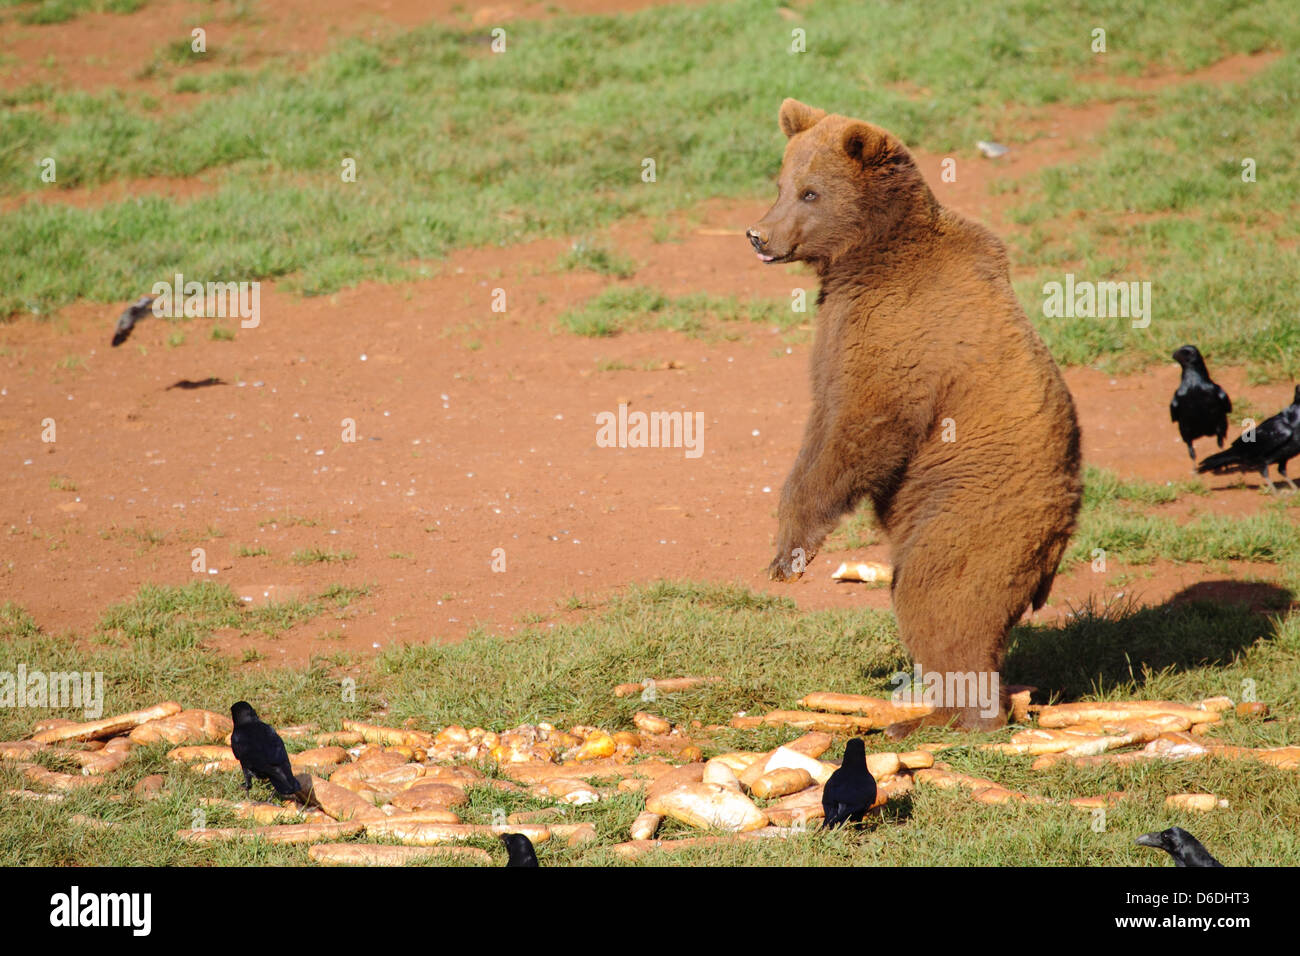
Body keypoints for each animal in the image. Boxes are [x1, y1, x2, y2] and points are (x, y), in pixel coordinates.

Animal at [748, 99, 1082, 737]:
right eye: (780, 184)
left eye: (811, 192)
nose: (758, 235)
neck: (868, 256)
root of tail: (1061, 537)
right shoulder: (841, 334)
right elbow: (822, 422)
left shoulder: (901, 334)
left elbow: (860, 431)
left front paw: (788, 553)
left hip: (971, 506)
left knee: (940, 595)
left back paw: (942, 717)